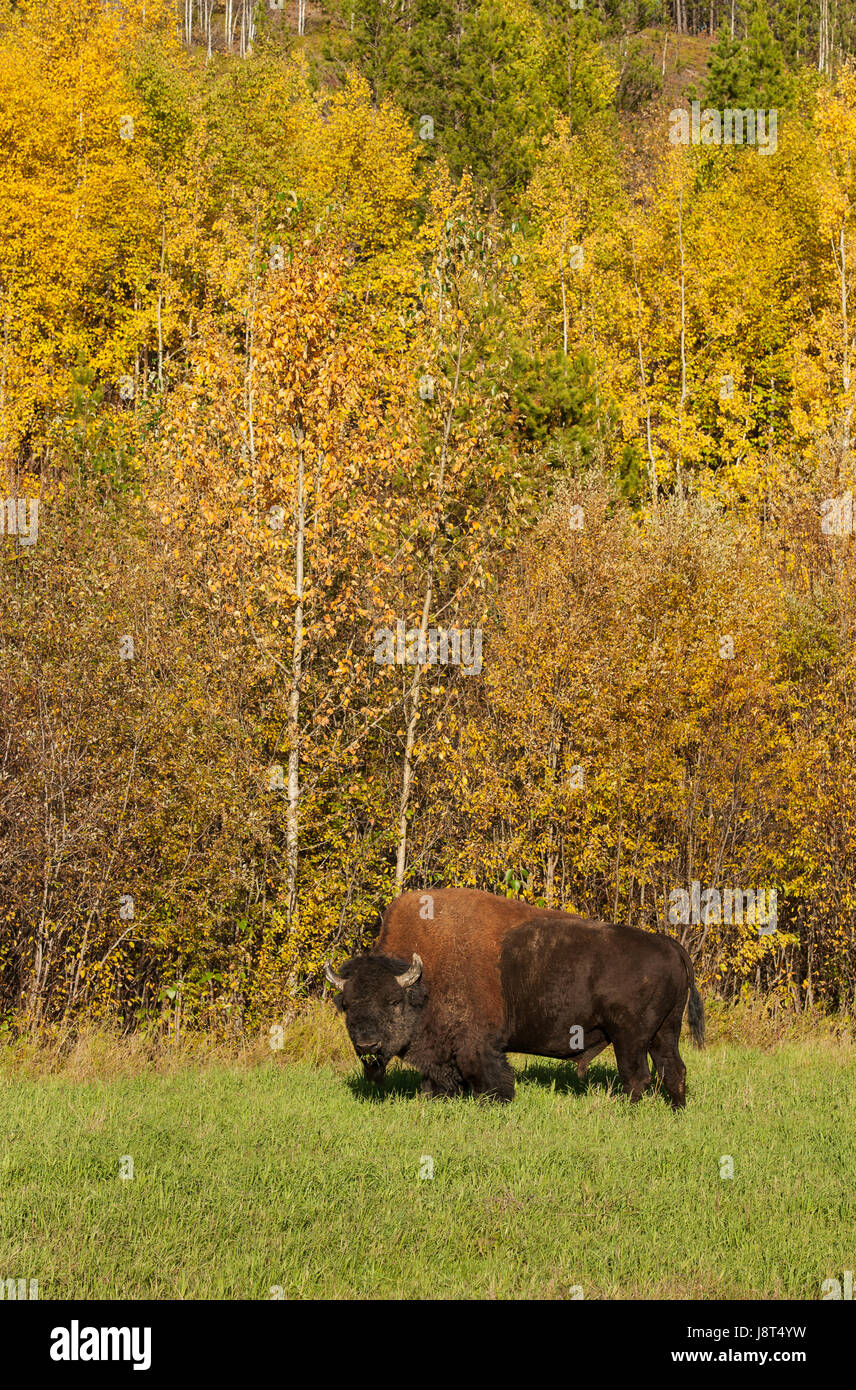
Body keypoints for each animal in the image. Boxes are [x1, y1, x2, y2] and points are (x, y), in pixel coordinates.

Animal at [325, 889, 704, 1107]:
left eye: (393, 1001)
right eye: (348, 1005)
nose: (367, 1044)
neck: (425, 974)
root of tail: (669, 944)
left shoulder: (476, 1045)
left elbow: (489, 1078)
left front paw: (496, 1103)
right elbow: (436, 1079)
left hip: (630, 1037)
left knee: (637, 1076)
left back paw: (627, 1111)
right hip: (664, 1032)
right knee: (673, 1069)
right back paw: (675, 1110)